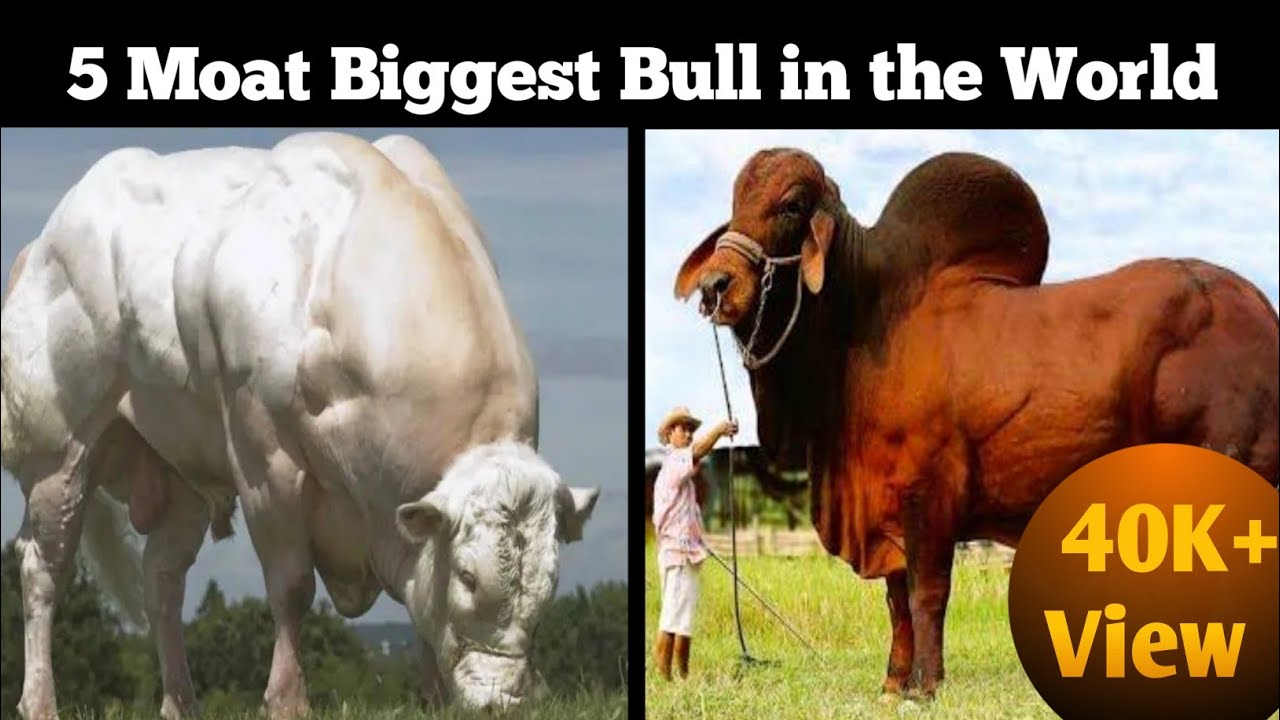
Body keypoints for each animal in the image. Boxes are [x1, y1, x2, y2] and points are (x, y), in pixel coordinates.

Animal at [0, 131, 601, 720]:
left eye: (549, 586)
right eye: (469, 577)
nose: (501, 701)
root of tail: (44, 242)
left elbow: (419, 596)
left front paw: (433, 697)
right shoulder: (264, 457)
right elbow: (291, 585)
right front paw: (287, 699)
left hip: (180, 471)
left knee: (162, 580)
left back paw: (181, 703)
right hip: (60, 451)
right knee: (42, 566)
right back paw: (40, 701)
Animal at [673, 147, 1279, 700]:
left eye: (792, 205)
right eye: (735, 205)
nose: (716, 285)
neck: (862, 322)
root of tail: (1259, 307)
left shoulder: (927, 494)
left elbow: (926, 593)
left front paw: (925, 684)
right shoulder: (887, 505)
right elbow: (896, 601)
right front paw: (893, 683)